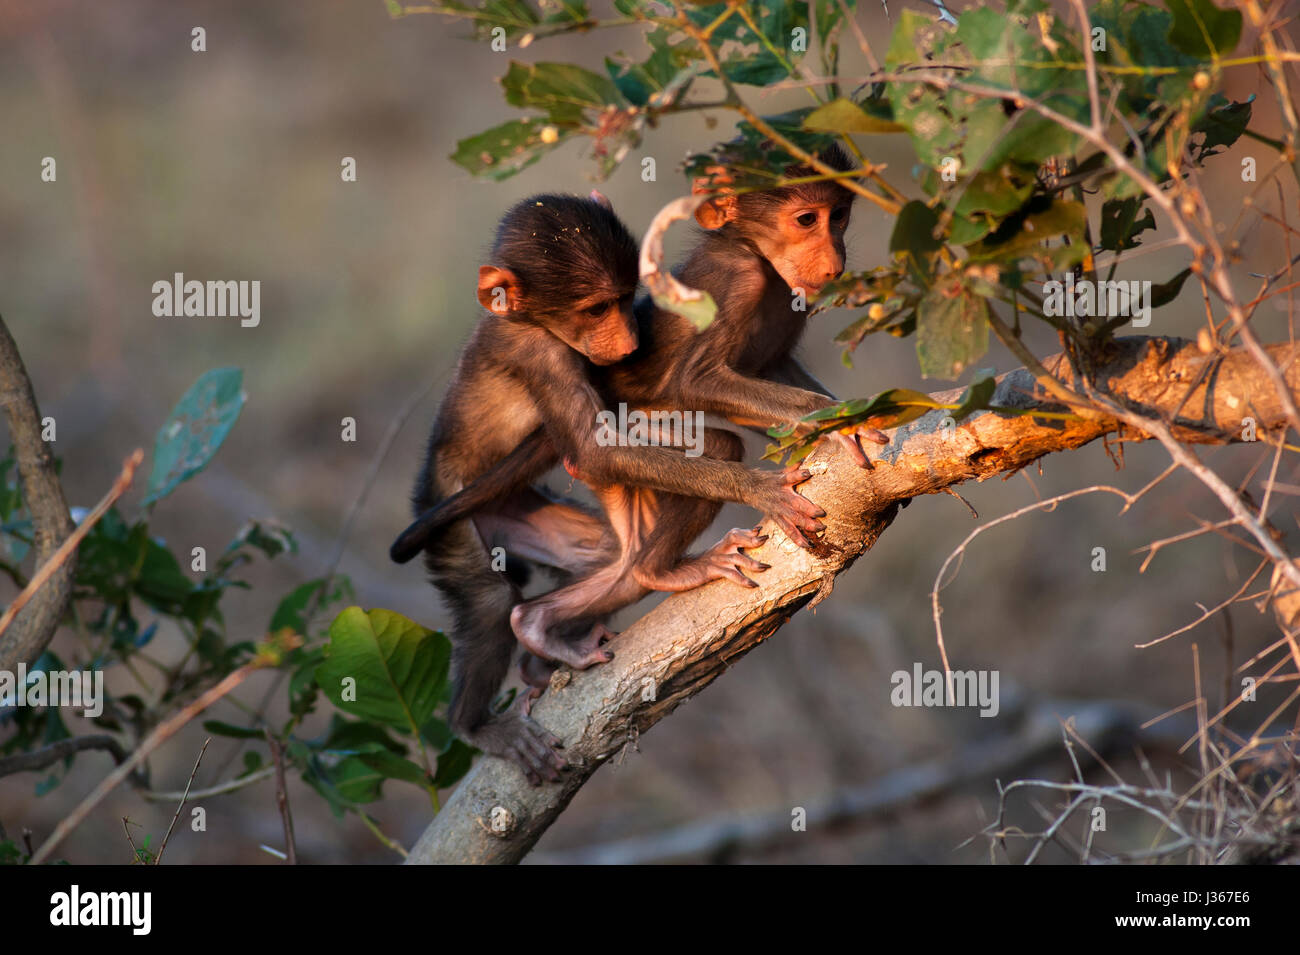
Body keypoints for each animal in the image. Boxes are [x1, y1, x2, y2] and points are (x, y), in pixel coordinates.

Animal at [398, 145, 887, 721]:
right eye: (806, 219)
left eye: (840, 216)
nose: (834, 263)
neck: (756, 256)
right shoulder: (736, 283)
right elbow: (697, 380)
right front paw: (829, 428)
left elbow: (773, 369)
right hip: (626, 424)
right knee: (712, 447)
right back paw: (657, 572)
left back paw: (545, 625)